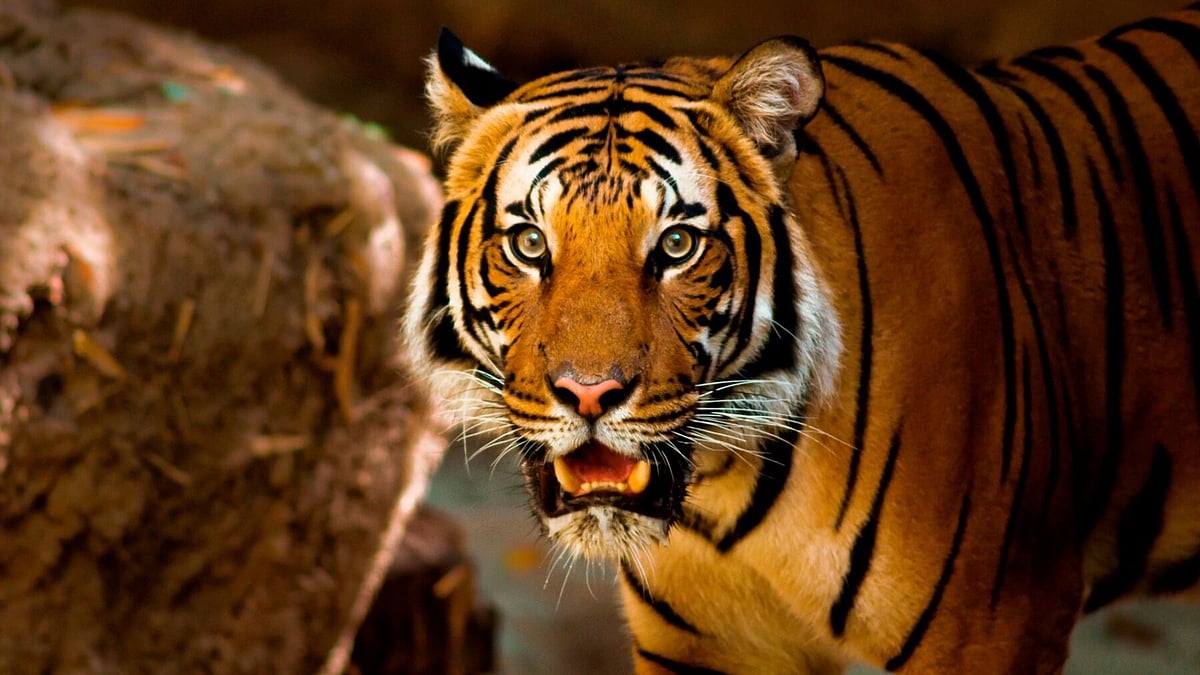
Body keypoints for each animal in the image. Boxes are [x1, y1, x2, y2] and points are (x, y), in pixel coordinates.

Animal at [403, 5, 1200, 673]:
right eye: (531, 244)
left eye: (677, 245)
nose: (589, 393)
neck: (726, 488)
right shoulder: (705, 646)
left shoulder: (994, 626)